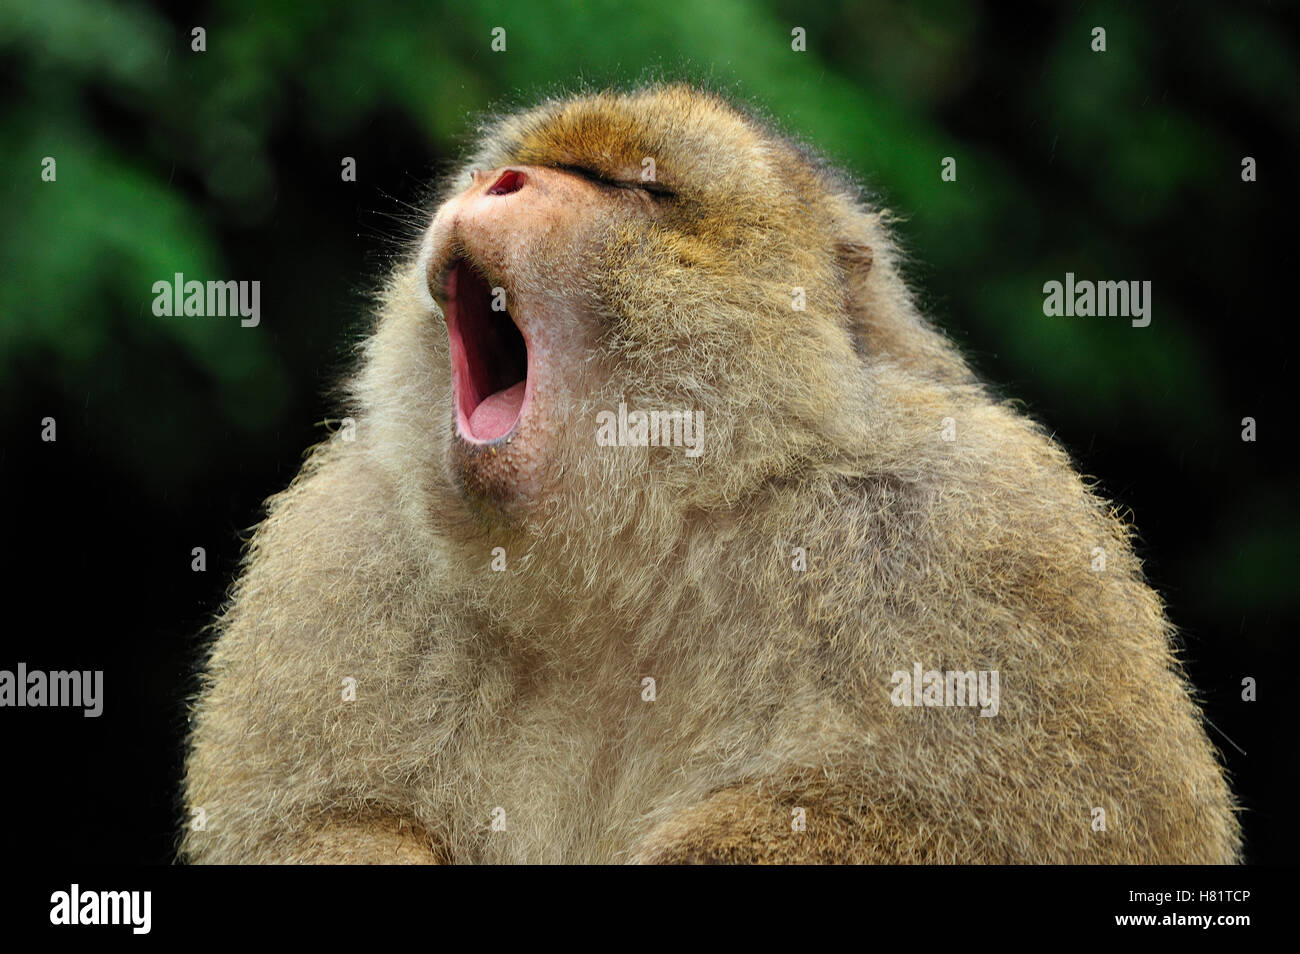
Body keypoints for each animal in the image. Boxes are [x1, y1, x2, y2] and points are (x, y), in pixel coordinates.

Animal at [182, 84, 1241, 864]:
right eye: (514, 165)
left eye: (633, 187)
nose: (501, 181)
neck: (631, 552)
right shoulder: (349, 544)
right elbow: (324, 824)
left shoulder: (986, 538)